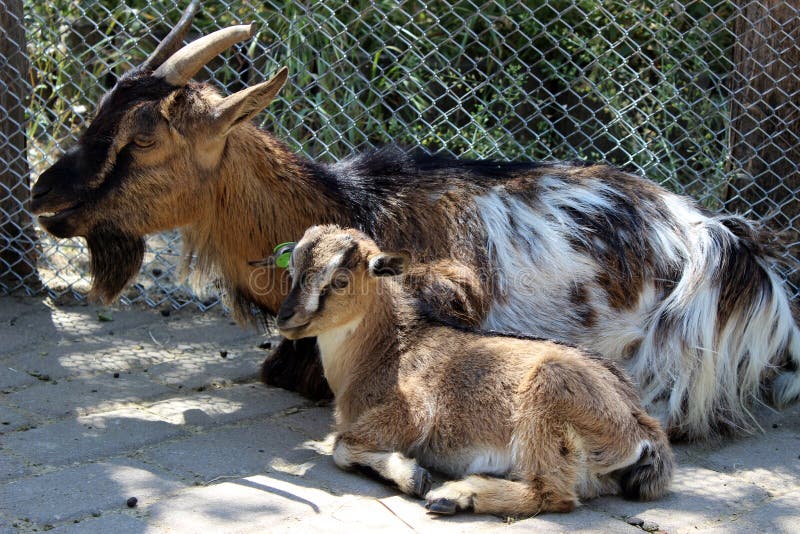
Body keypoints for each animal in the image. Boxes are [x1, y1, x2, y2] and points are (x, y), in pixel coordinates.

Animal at [264, 224, 674, 516]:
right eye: (293, 271)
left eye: (339, 280)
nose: (286, 318)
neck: (386, 351)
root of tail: (641, 429)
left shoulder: (413, 412)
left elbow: (342, 447)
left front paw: (414, 476)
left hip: (548, 397)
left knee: (554, 494)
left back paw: (456, 495)